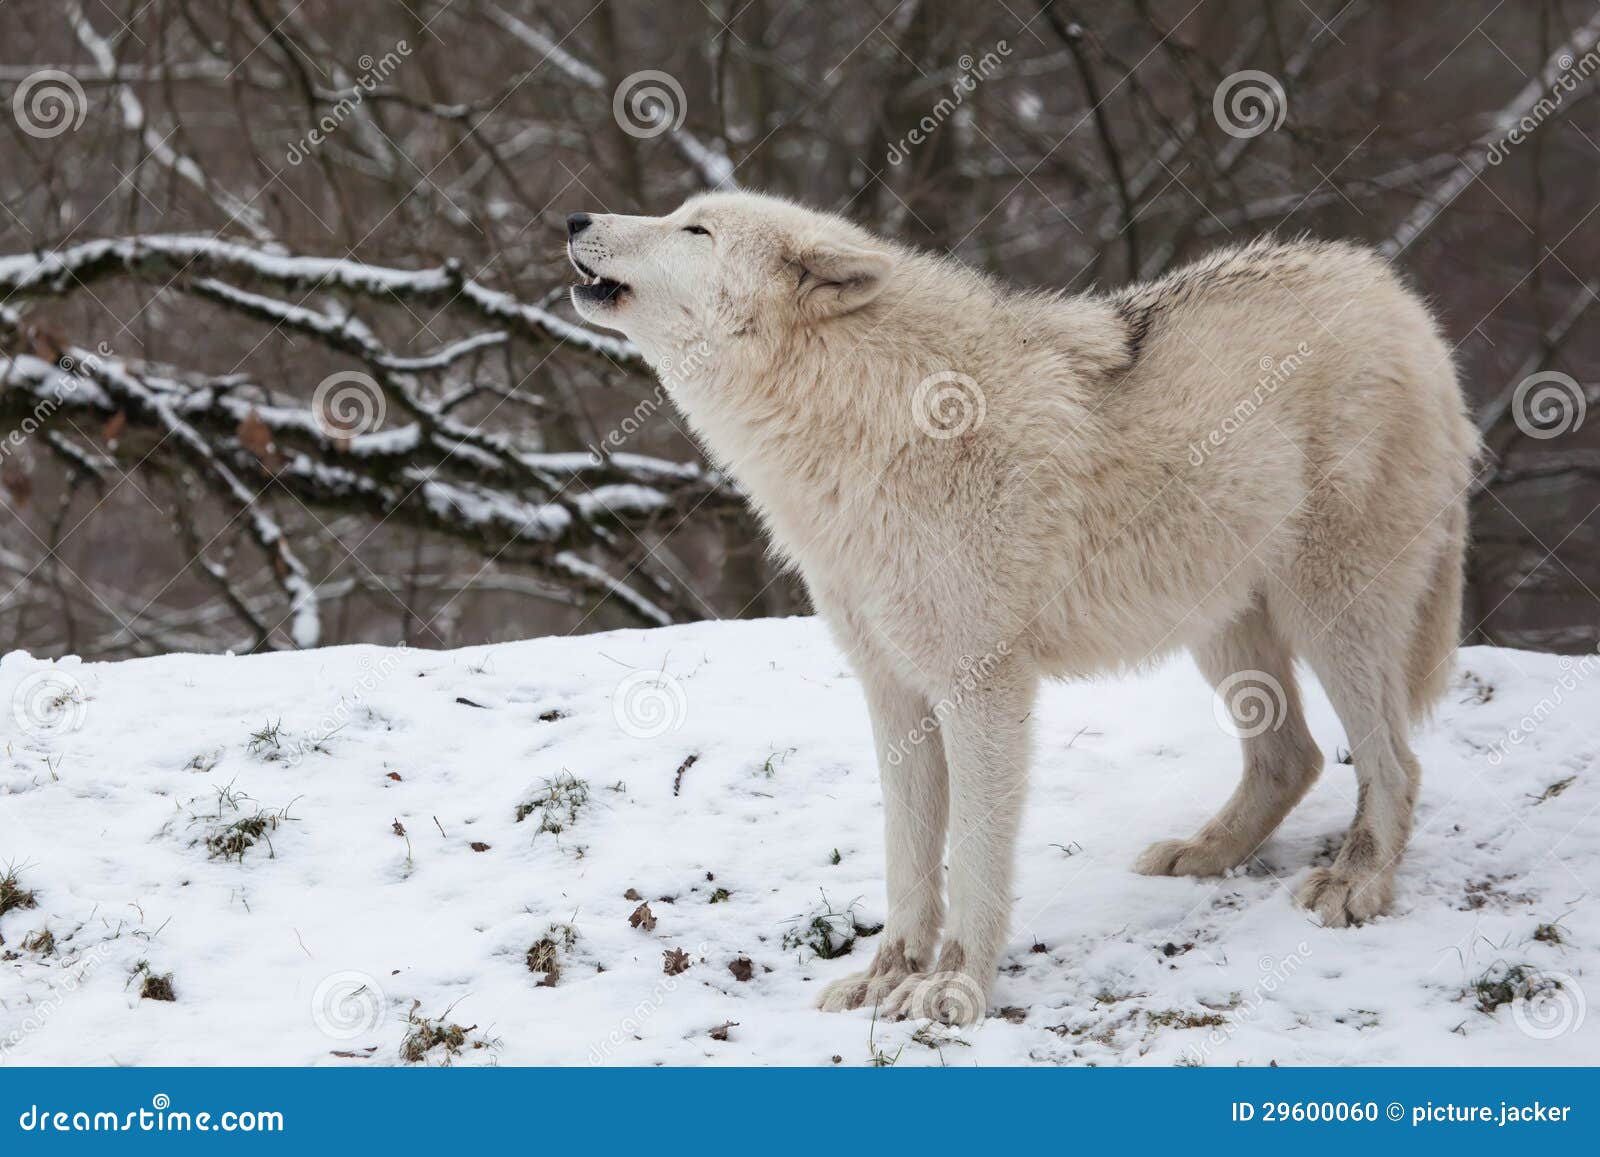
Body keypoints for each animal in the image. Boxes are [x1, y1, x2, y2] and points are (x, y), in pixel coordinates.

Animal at [566, 191, 1479, 1025]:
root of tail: (1394, 294)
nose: (574, 220)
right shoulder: (893, 689)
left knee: (1395, 763)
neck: (866, 417)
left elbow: (972, 855)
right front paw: (886, 977)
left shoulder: (983, 687)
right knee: (1294, 758)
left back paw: (1356, 881)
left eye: (695, 229)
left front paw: (954, 989)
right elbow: (906, 857)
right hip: (1222, 628)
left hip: (1330, 612)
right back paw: (1201, 853)